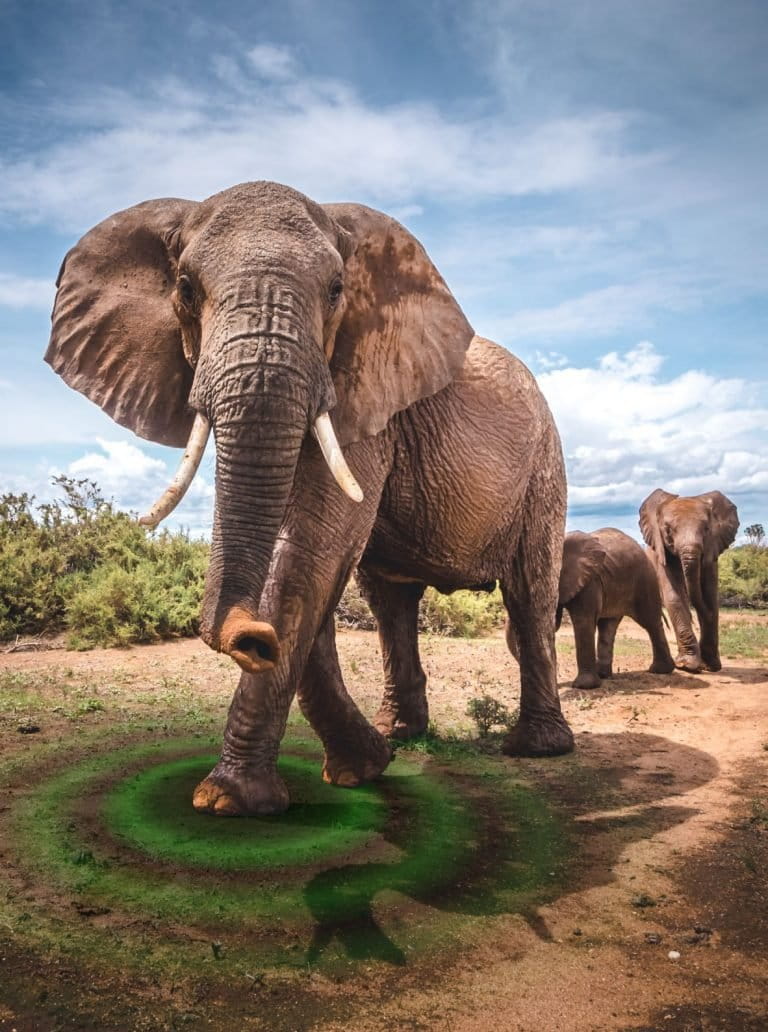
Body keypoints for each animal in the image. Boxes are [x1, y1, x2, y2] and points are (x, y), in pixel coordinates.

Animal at [46, 180, 573, 816]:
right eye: (186, 288)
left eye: (337, 290)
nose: (253, 638)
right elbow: (313, 566)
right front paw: (365, 767)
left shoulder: (365, 399)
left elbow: (314, 551)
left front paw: (227, 801)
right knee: (390, 601)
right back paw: (400, 734)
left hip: (544, 469)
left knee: (529, 590)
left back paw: (538, 748)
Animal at [557, 528, 675, 690]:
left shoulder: (589, 580)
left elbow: (583, 621)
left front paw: (584, 687)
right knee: (608, 627)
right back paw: (603, 676)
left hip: (645, 580)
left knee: (651, 622)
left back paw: (660, 671)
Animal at [639, 489, 739, 673]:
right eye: (668, 530)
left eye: (707, 529)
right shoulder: (661, 555)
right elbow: (674, 596)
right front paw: (688, 665)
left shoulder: (711, 553)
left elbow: (710, 597)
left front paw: (711, 666)